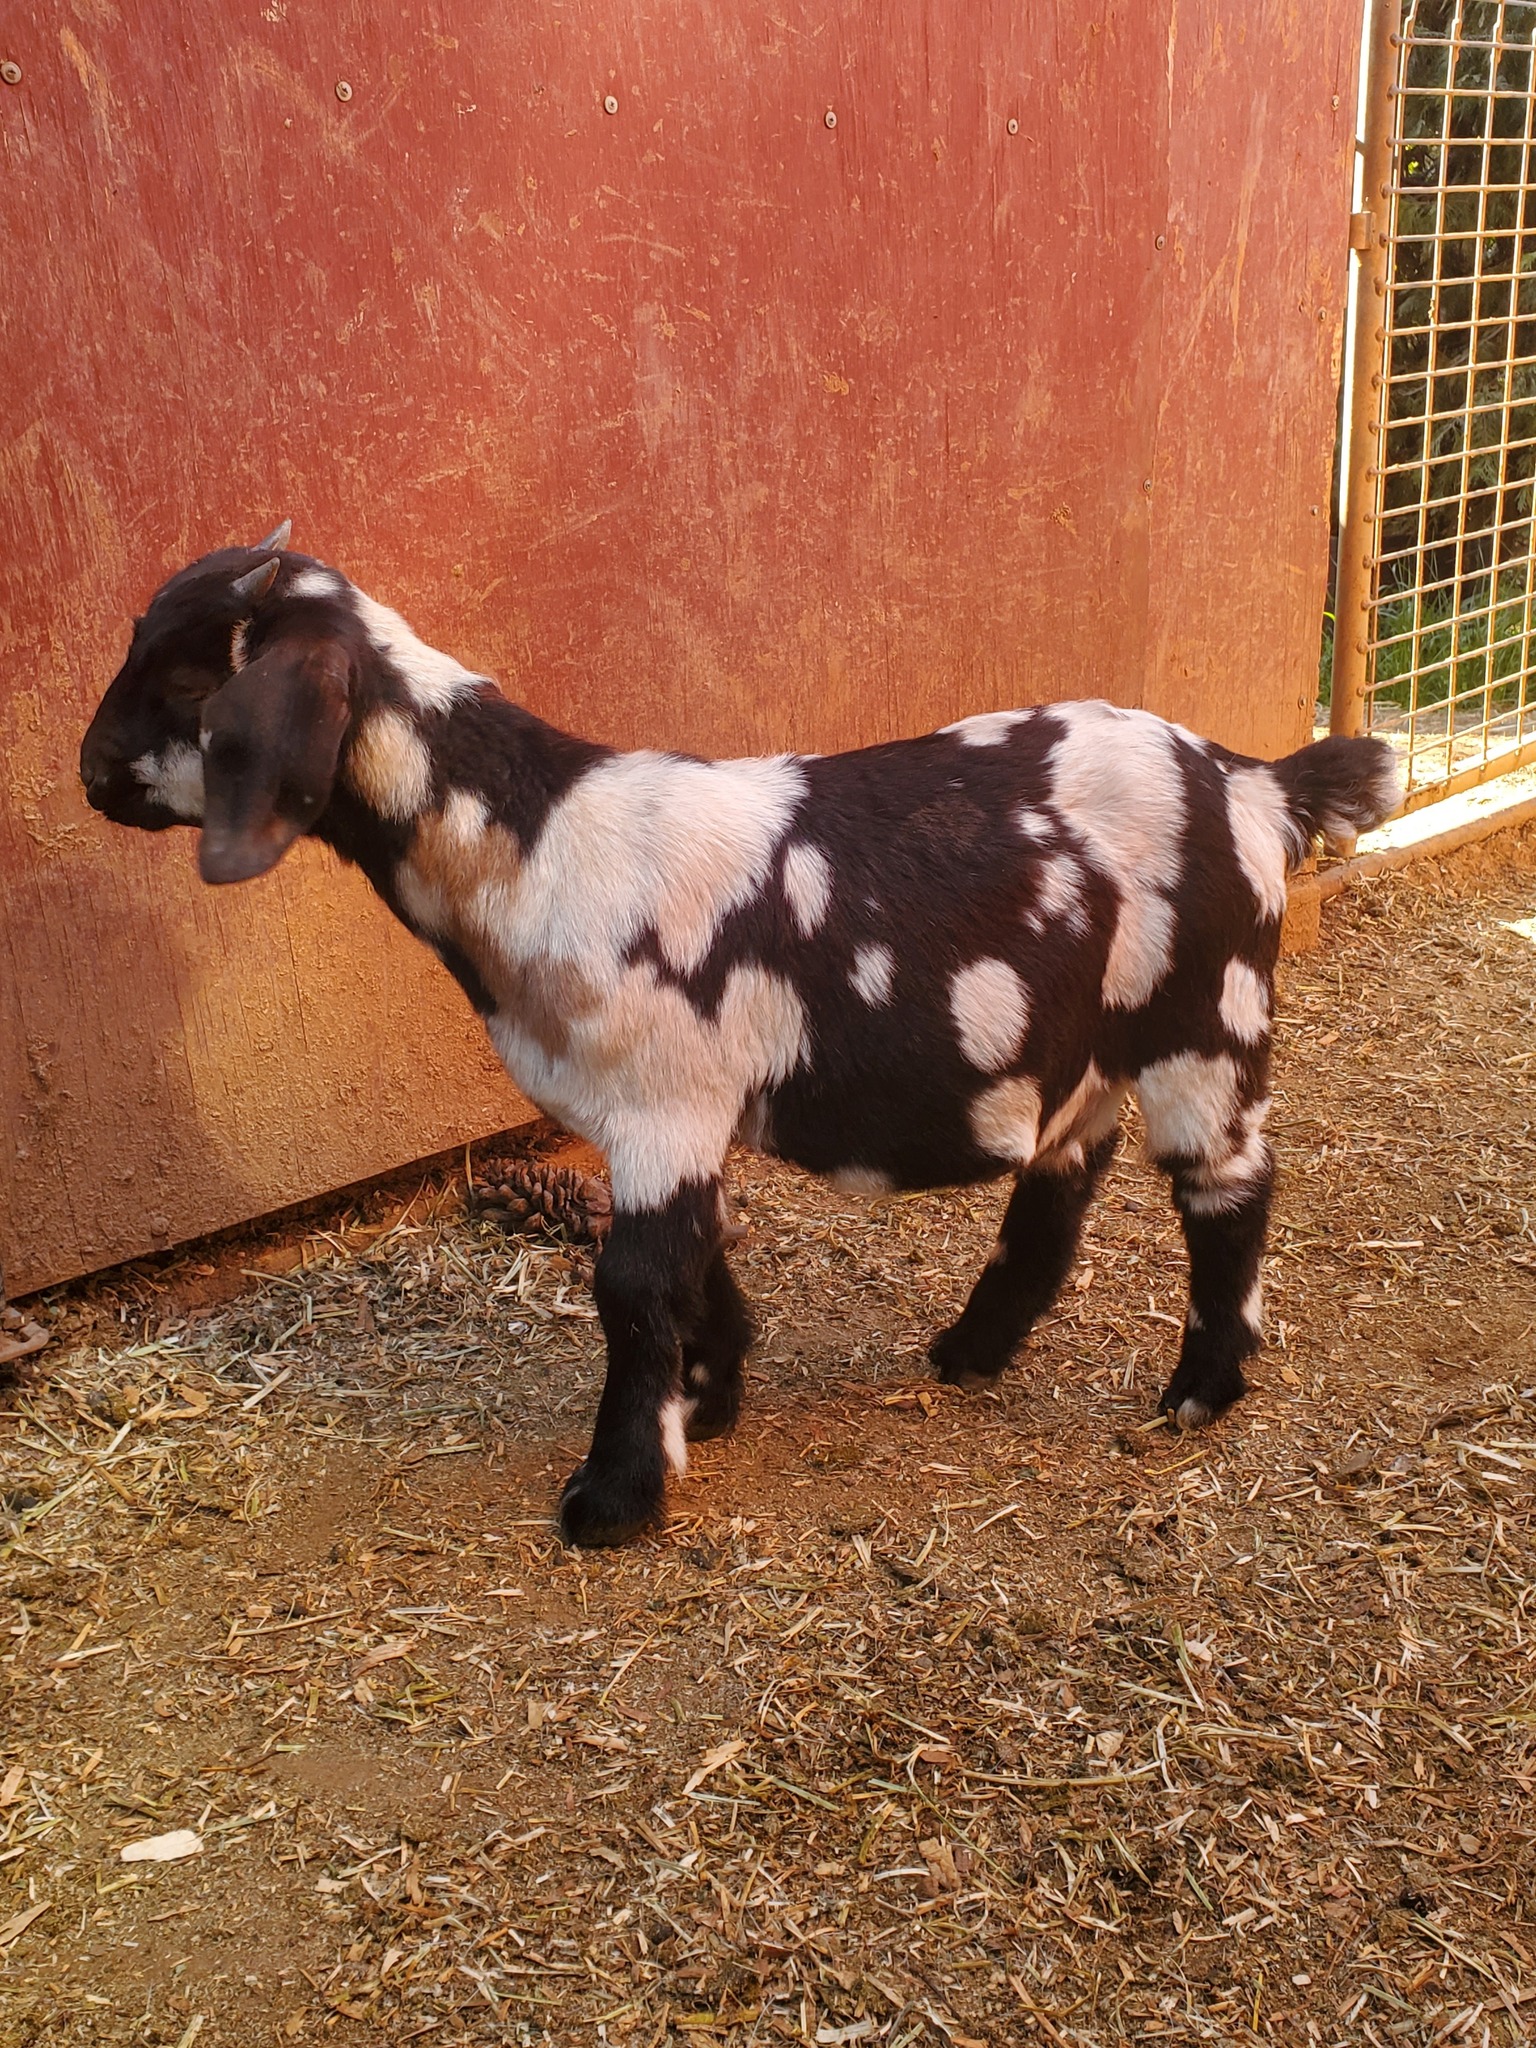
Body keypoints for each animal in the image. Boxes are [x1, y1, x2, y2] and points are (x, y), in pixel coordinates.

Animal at [80, 529, 1402, 1545]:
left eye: (191, 683)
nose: (90, 773)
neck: (531, 836)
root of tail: (1256, 782)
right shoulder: (669, 1116)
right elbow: (686, 1258)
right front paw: (710, 1393)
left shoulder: (663, 1098)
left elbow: (631, 1285)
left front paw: (617, 1493)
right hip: (1086, 1039)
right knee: (1066, 1170)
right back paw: (972, 1348)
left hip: (1207, 1018)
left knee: (1229, 1190)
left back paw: (1202, 1388)